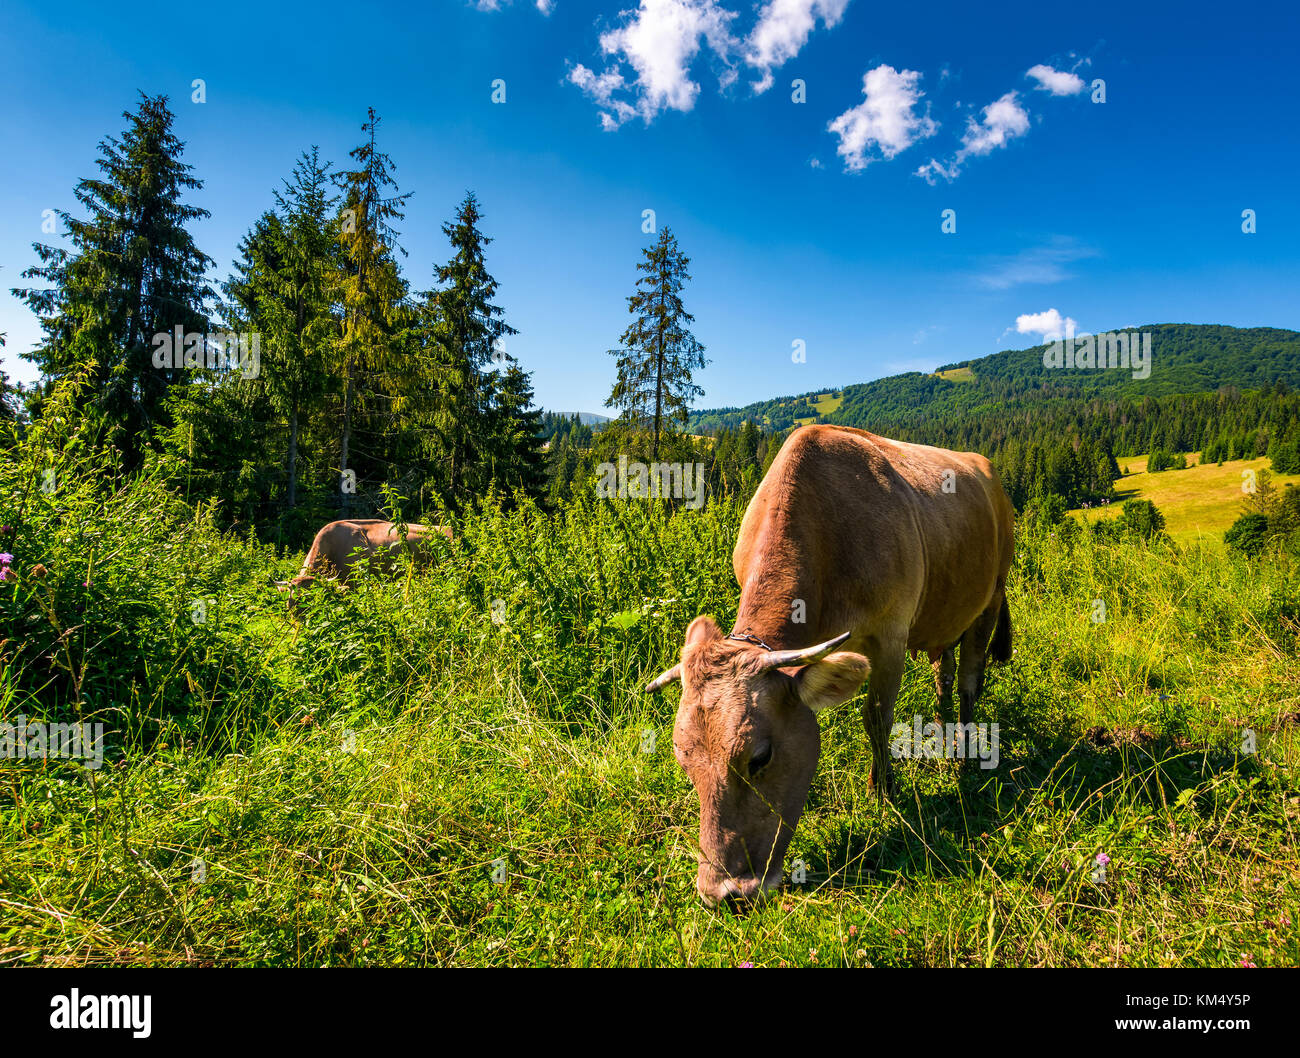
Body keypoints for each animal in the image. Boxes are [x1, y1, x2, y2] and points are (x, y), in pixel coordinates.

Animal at [645, 424, 1014, 908]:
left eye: (759, 757)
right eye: (684, 762)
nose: (722, 894)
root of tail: (982, 464)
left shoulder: (891, 635)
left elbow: (877, 718)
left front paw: (883, 791)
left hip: (992, 595)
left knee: (970, 677)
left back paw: (967, 753)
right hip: (946, 611)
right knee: (945, 674)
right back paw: (941, 728)